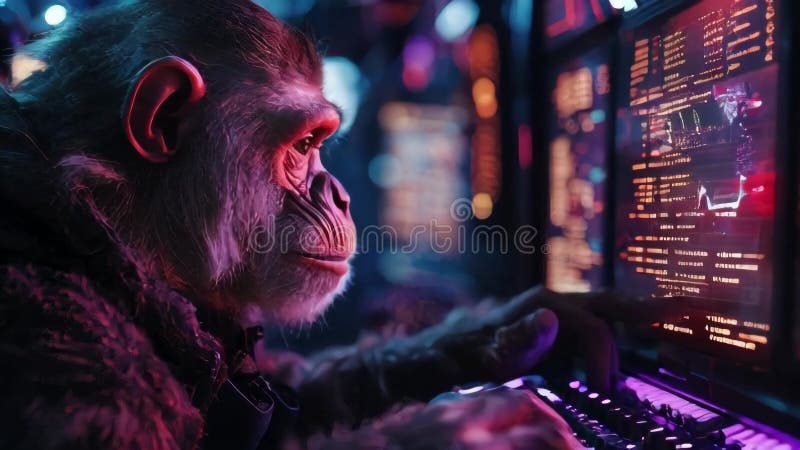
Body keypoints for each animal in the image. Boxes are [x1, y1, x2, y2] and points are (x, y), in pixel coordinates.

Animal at [0, 1, 616, 449]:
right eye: (303, 145)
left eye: (321, 141)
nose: (341, 195)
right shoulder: (69, 348)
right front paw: (467, 430)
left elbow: (307, 394)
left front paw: (508, 329)